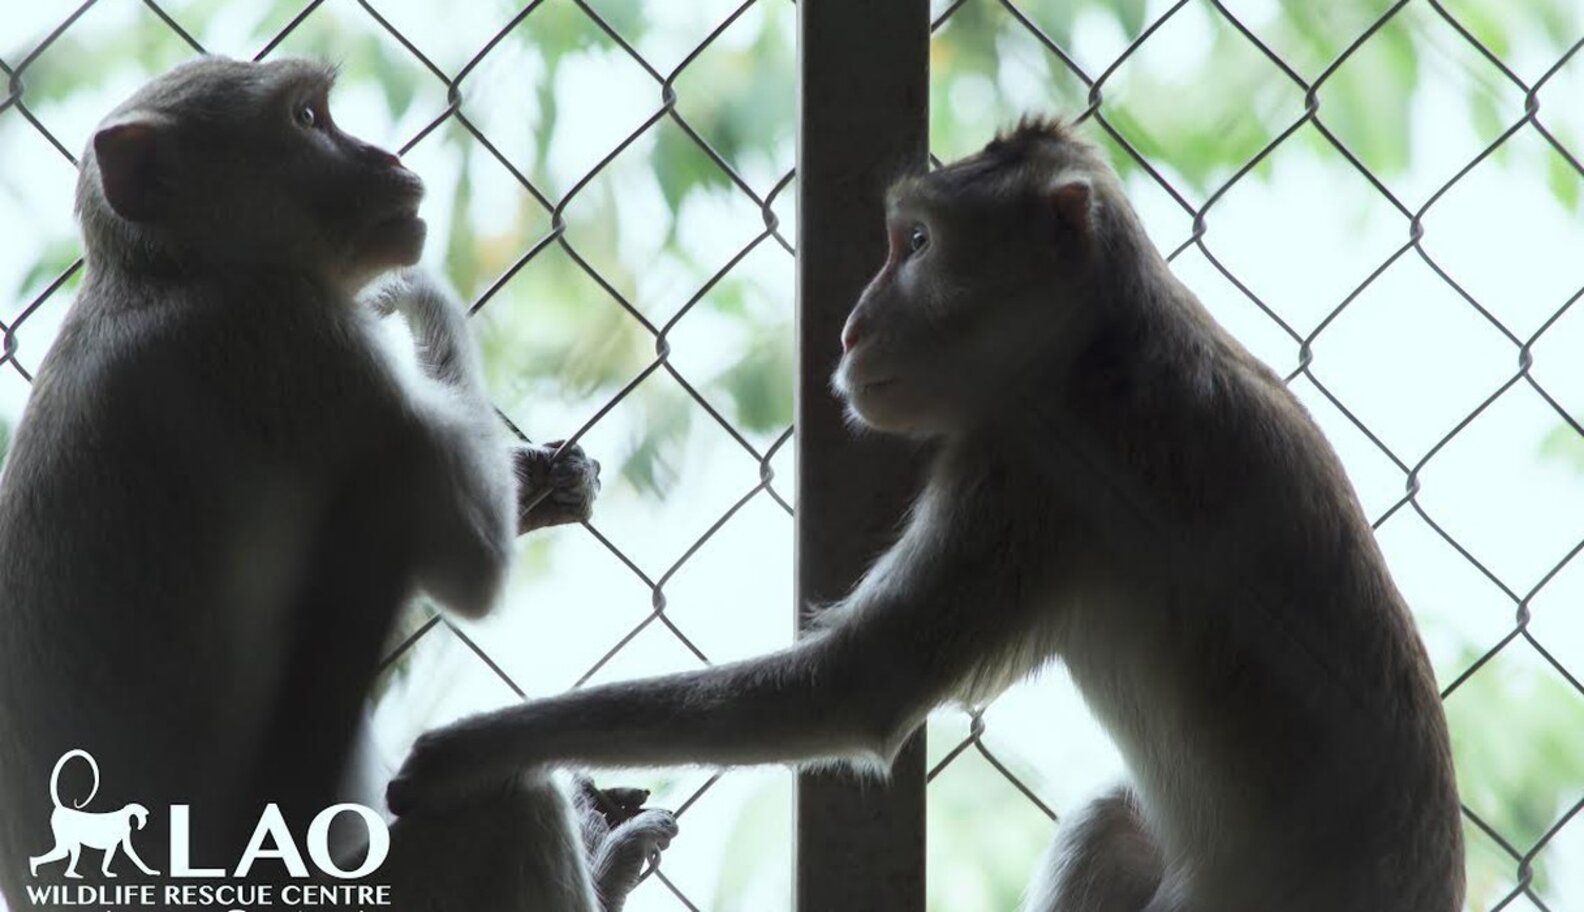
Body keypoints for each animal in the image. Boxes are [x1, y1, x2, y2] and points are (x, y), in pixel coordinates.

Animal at [28, 751, 159, 879]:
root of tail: (62, 808)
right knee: (66, 851)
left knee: (66, 851)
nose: (144, 822)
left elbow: (125, 850)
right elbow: (121, 849)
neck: (125, 814)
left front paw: (149, 871)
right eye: (145, 815)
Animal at [386, 118, 1465, 912]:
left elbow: (852, 689)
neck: (1093, 337)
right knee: (1113, 827)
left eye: (916, 246)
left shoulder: (1036, 476)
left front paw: (469, 750)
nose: (854, 326)